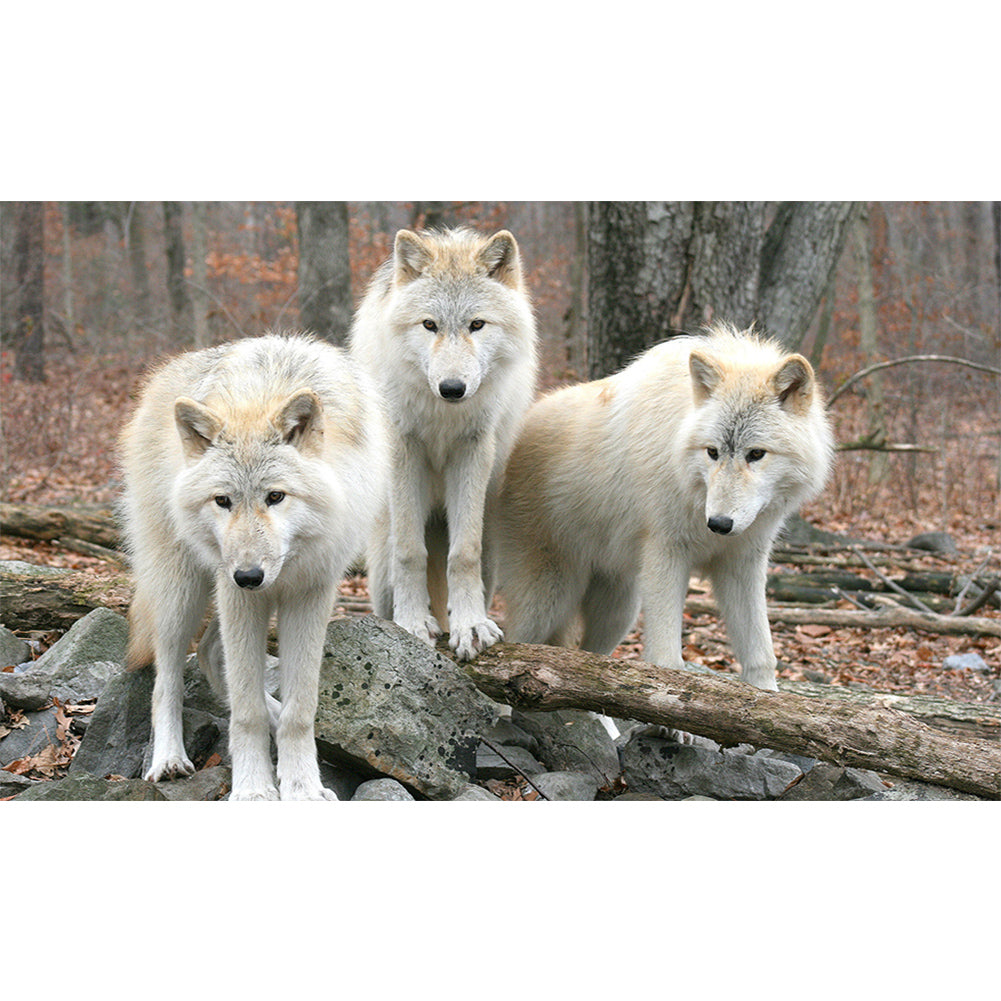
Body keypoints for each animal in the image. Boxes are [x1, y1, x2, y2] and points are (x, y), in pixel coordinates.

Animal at [119, 333, 388, 800]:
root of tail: (158, 382)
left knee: (210, 652)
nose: (249, 576)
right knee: (167, 676)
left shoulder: (310, 595)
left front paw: (302, 788)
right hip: (182, 591)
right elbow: (246, 713)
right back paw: (168, 759)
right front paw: (253, 790)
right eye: (223, 500)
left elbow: (301, 709)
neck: (262, 394)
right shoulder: (237, 595)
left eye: (275, 497)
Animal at [349, 227, 538, 661]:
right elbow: (409, 551)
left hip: (490, 544)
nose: (453, 388)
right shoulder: (404, 448)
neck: (442, 414)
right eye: (429, 325)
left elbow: (463, 555)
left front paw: (470, 627)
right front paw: (412, 623)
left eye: (477, 324)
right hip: (379, 565)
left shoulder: (472, 450)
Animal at [496, 322, 834, 692]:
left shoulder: (742, 561)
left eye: (756, 454)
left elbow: (761, 652)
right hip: (548, 599)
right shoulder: (666, 553)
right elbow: (666, 657)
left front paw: (768, 698)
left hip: (620, 609)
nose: (719, 524)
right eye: (712, 452)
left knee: (589, 658)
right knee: (517, 641)